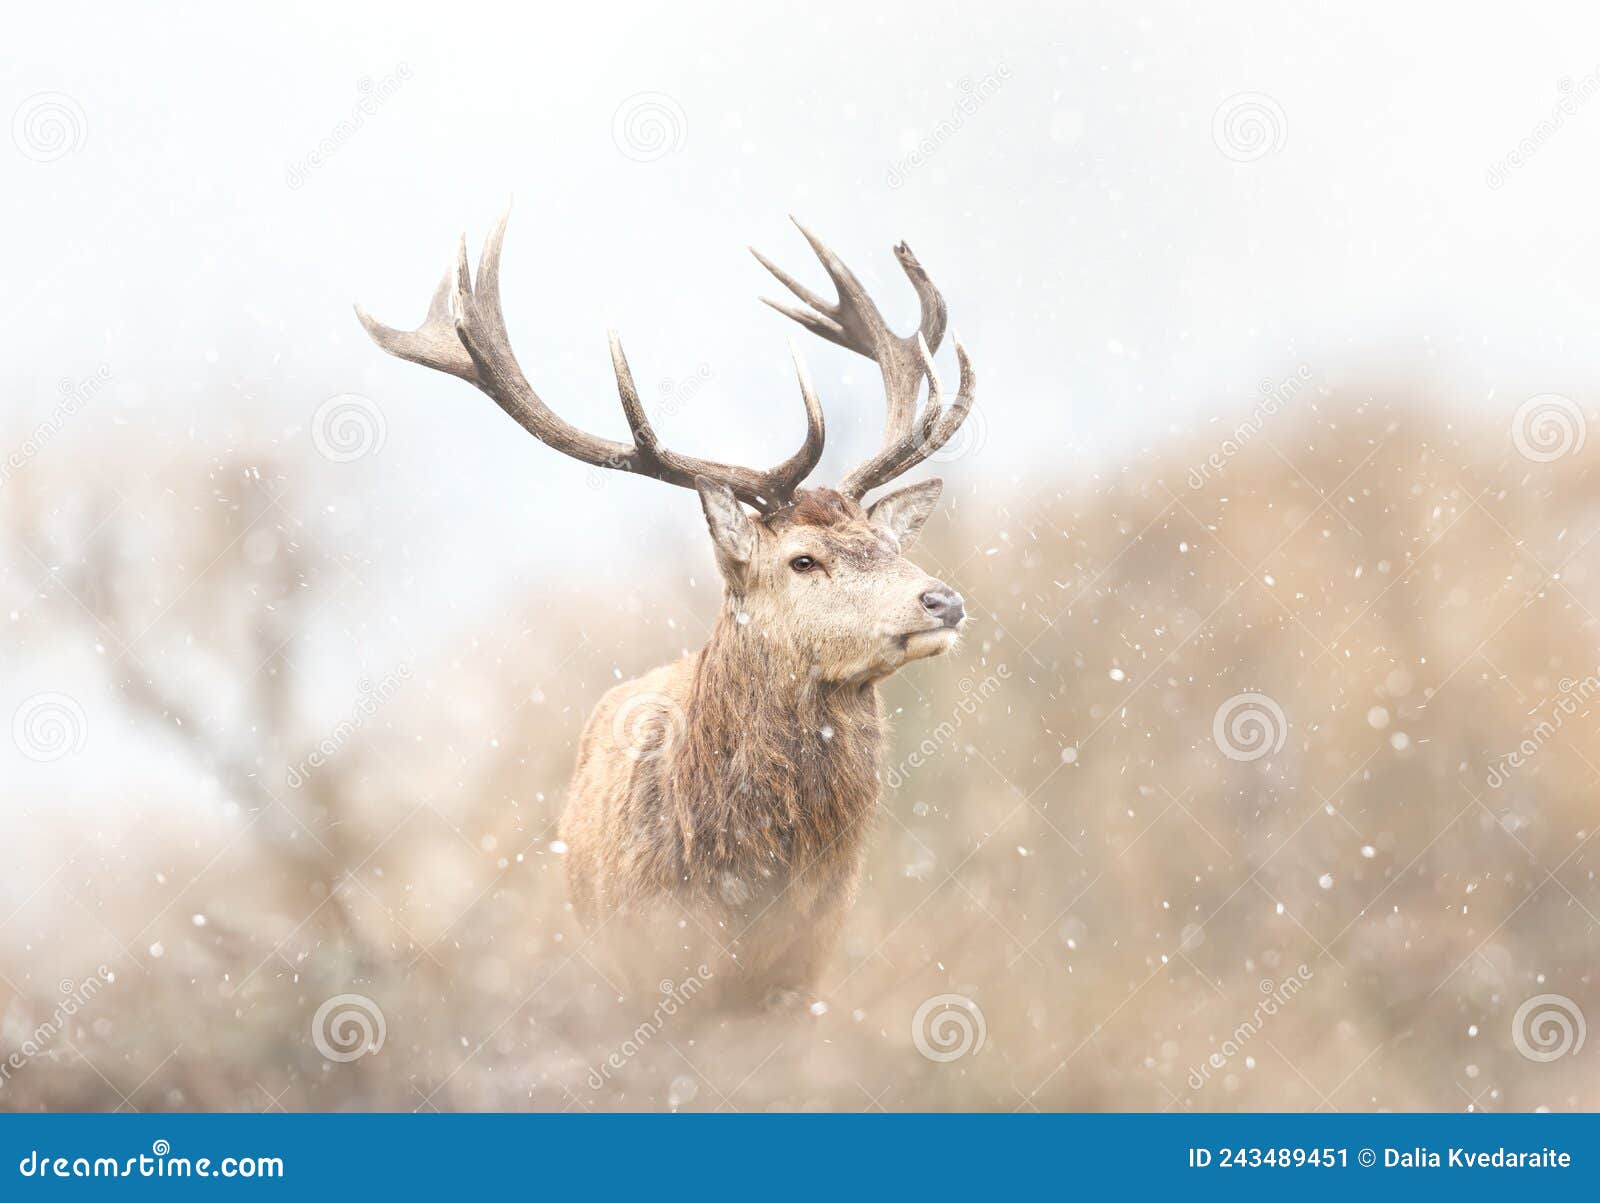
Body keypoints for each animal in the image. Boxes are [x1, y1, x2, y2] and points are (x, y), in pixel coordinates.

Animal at [357, 210, 976, 1010]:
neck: (740, 887)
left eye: (884, 541)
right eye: (802, 559)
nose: (943, 598)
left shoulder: (804, 967)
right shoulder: (646, 961)